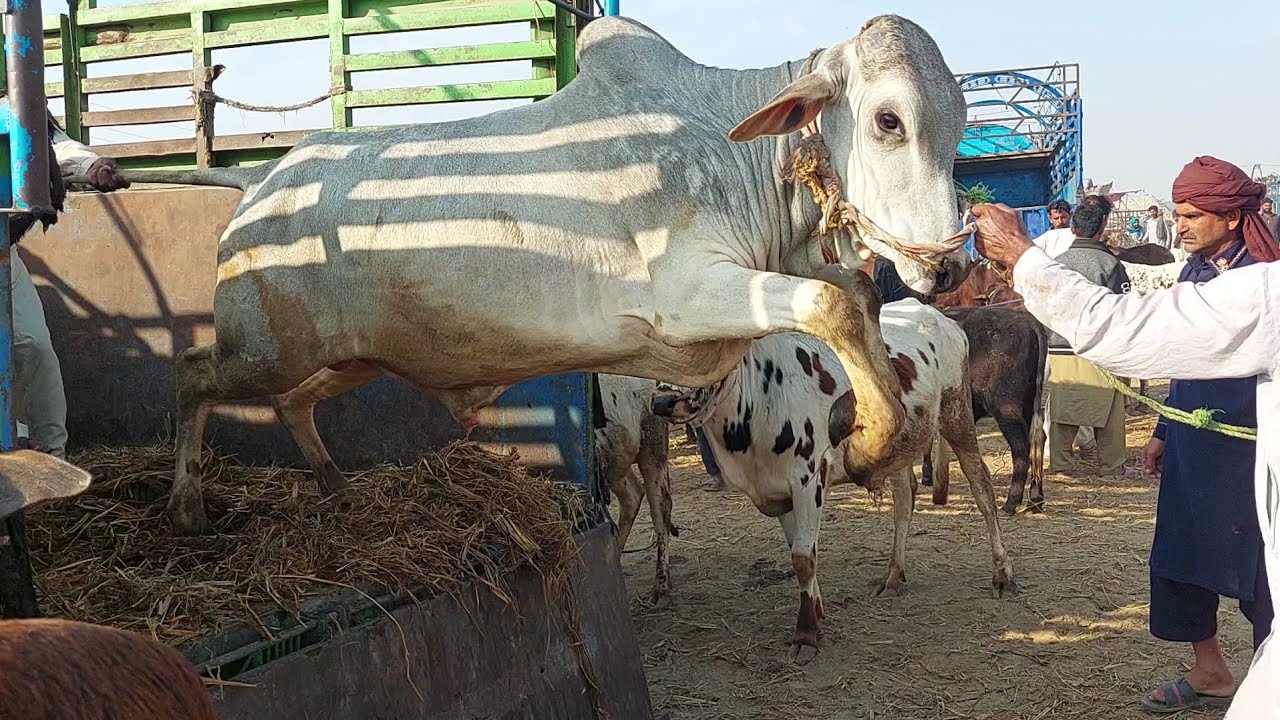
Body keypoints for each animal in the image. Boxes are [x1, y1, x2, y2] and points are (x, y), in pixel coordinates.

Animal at [108, 16, 974, 534]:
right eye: (888, 121)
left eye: (961, 119)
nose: (949, 265)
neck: (732, 150)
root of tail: (258, 180)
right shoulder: (690, 296)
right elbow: (833, 302)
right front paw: (870, 444)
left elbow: (855, 295)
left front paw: (876, 436)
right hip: (263, 346)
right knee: (193, 372)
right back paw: (186, 501)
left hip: (349, 357)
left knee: (293, 402)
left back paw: (332, 485)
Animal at [652, 285, 1015, 665]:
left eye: (708, 347)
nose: (662, 402)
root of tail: (939, 316)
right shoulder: (779, 491)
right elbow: (798, 549)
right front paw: (817, 608)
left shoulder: (808, 478)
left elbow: (802, 557)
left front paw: (807, 634)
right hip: (903, 442)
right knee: (905, 499)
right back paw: (893, 576)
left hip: (957, 415)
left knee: (982, 489)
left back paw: (1002, 574)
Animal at [922, 306, 1048, 514]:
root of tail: (1028, 321)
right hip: (1029, 404)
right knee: (1038, 441)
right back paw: (1036, 499)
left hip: (1005, 407)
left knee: (1021, 446)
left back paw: (1011, 502)